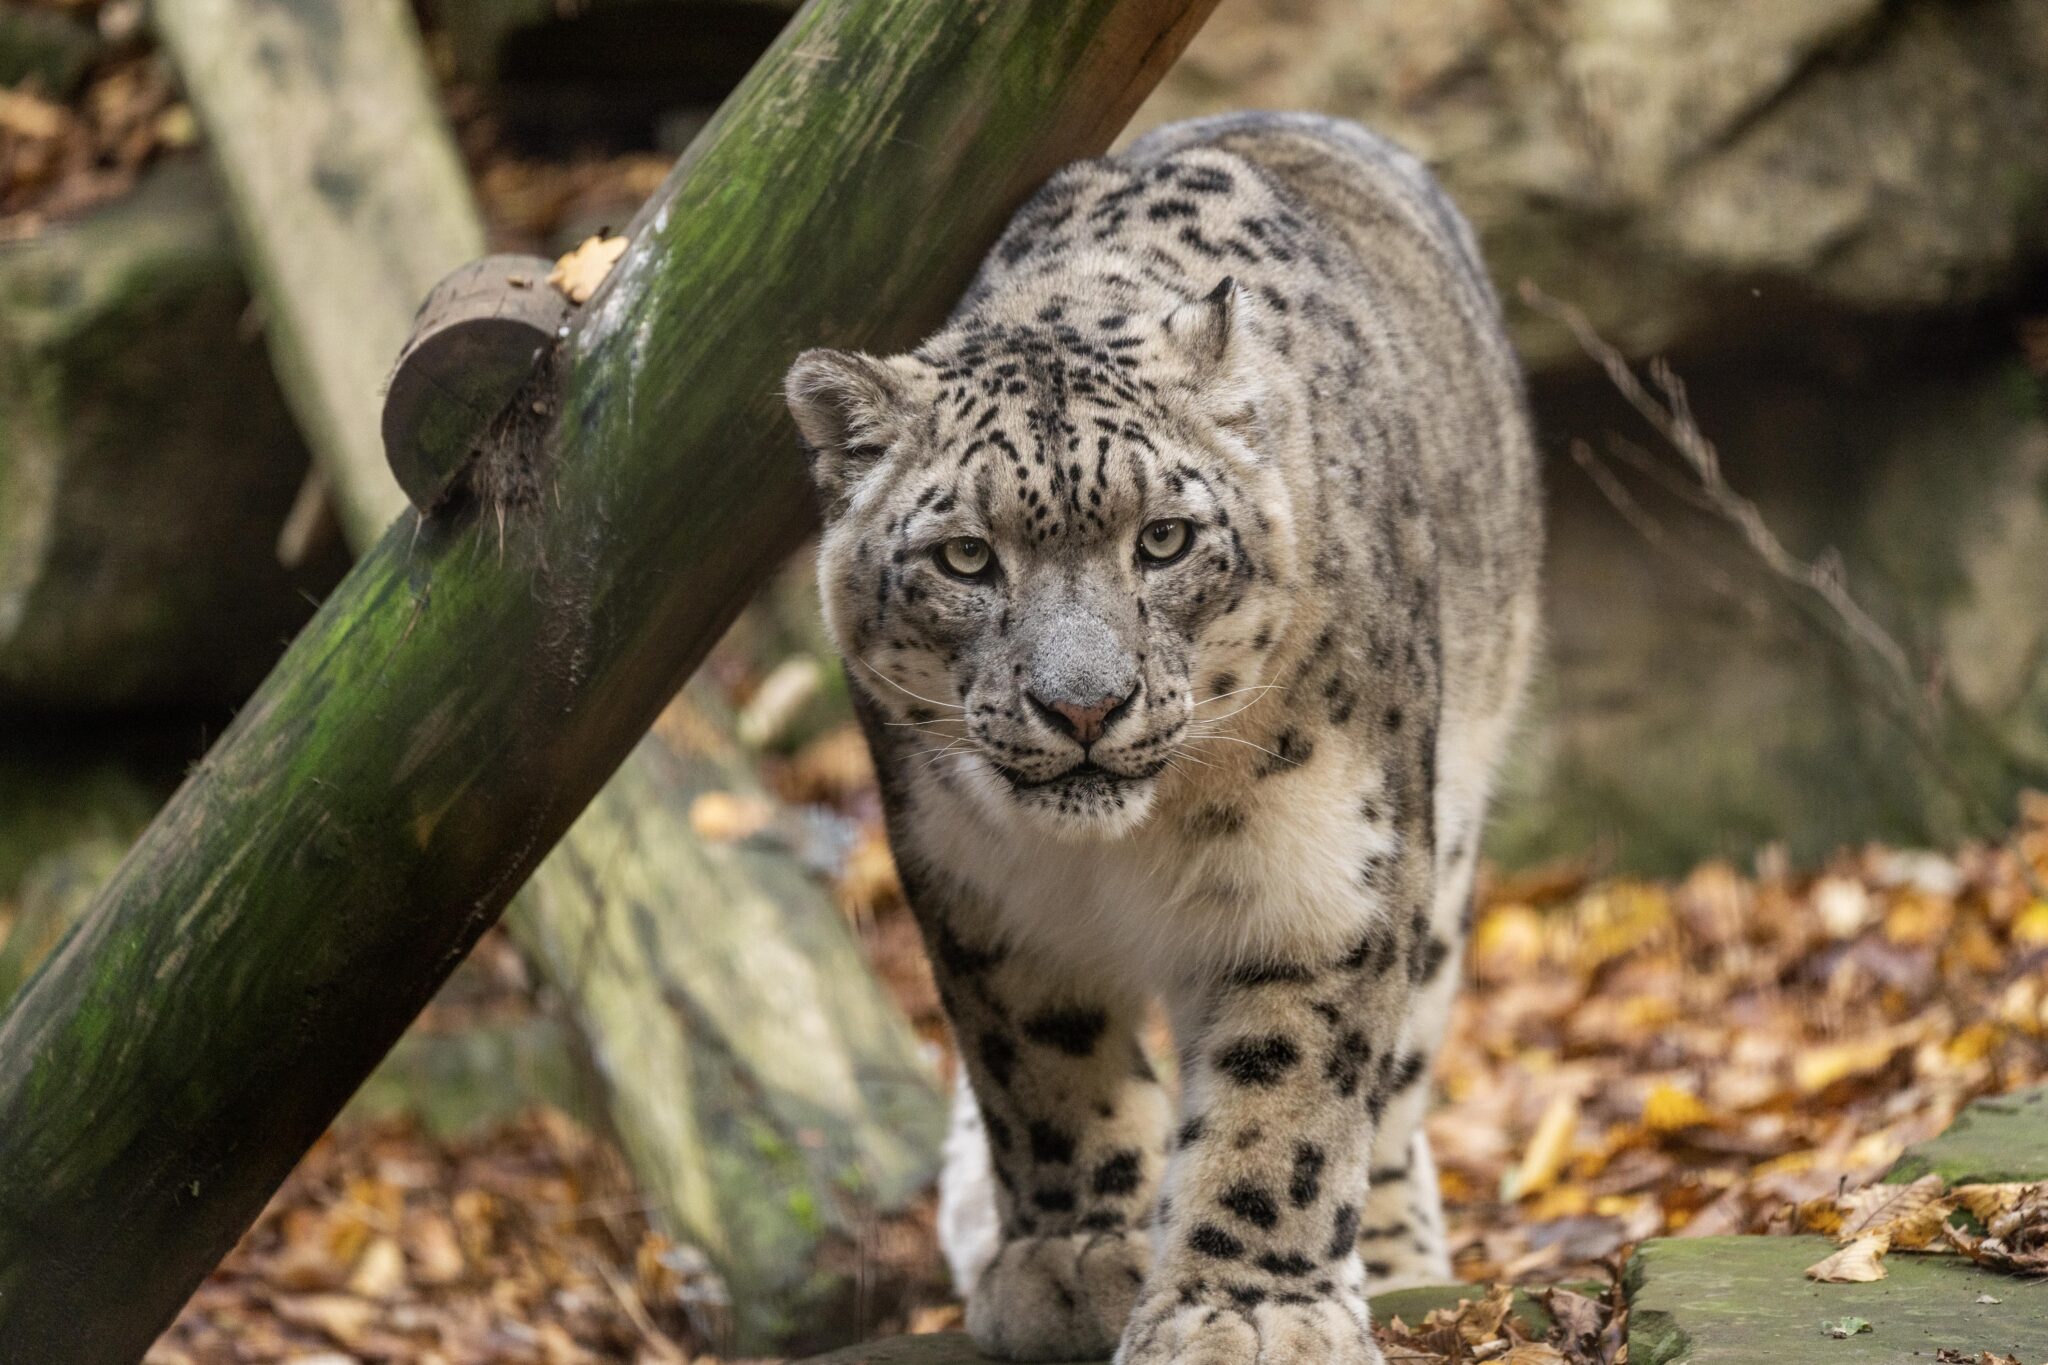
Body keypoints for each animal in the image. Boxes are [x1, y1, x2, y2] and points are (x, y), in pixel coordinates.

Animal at [783, 112, 1541, 1365]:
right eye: (964, 557)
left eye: (1165, 539)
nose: (1083, 706)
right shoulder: (979, 887)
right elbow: (1039, 1065)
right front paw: (1075, 1258)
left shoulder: (1317, 872)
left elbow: (1288, 1090)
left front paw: (1248, 1312)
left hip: (1447, 839)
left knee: (1397, 1084)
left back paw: (1388, 1266)